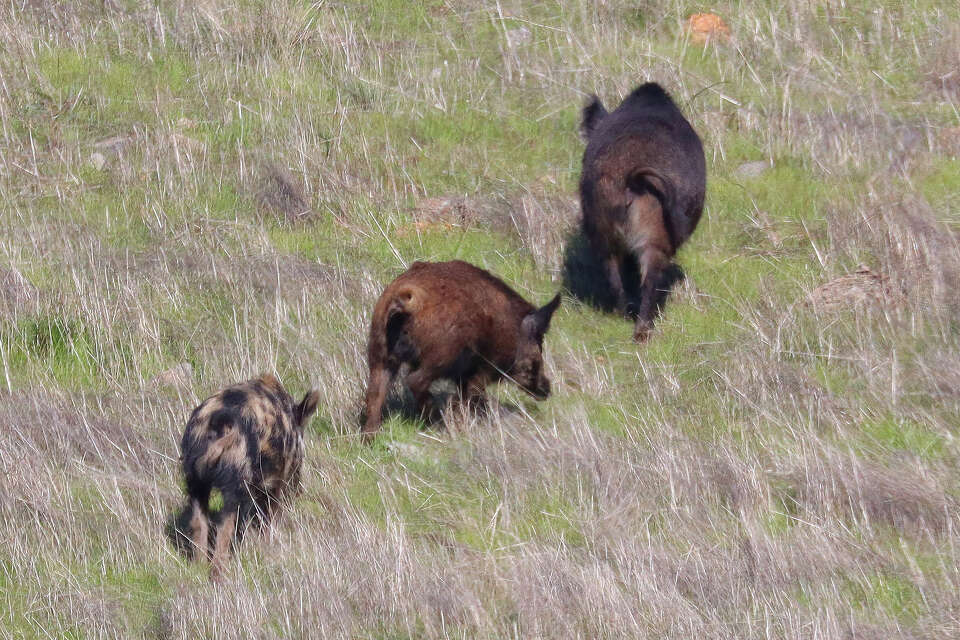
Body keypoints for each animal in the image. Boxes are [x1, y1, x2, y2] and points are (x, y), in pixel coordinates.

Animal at [179, 374, 319, 581]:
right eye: (302, 454)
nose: (299, 490)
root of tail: (219, 421)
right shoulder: (279, 480)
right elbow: (271, 515)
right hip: (236, 479)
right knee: (225, 528)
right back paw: (220, 575)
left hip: (194, 476)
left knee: (199, 521)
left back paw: (198, 568)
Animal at [362, 260, 561, 440]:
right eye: (539, 346)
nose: (547, 389)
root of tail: (410, 299)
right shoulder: (485, 368)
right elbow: (470, 395)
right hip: (441, 354)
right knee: (414, 380)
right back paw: (437, 420)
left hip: (379, 349)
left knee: (374, 392)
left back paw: (370, 438)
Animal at [579, 82, 706, 341]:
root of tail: (633, 179)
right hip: (655, 238)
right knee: (649, 281)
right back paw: (642, 332)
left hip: (602, 229)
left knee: (615, 275)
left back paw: (623, 316)